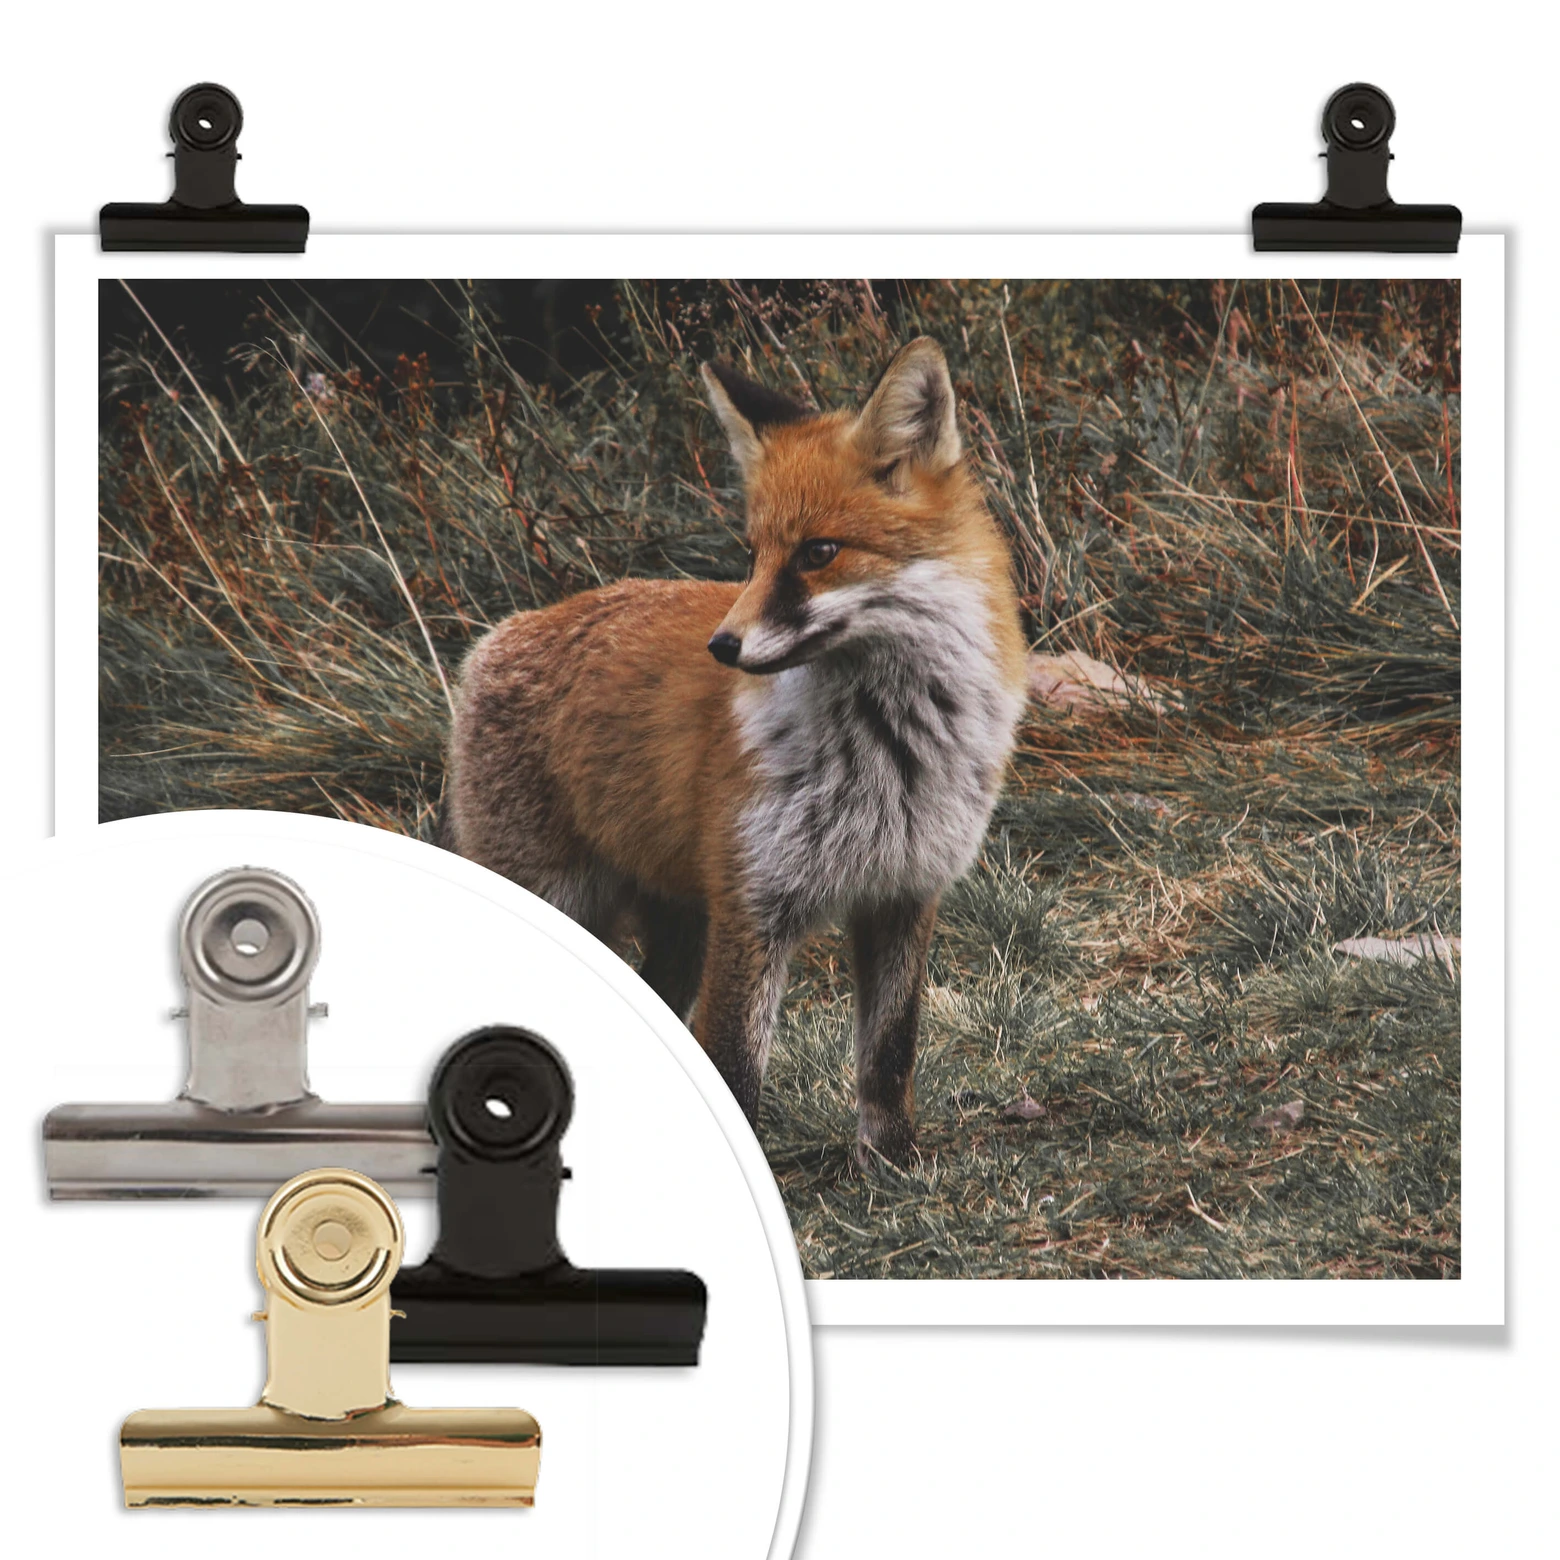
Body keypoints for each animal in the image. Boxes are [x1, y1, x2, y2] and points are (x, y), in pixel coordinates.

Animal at [443, 337, 1028, 1164]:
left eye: (818, 552)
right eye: (751, 555)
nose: (722, 645)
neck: (887, 752)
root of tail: (499, 637)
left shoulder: (904, 891)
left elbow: (889, 1054)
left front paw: (892, 1164)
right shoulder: (752, 907)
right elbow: (735, 1069)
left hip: (678, 929)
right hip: (574, 903)